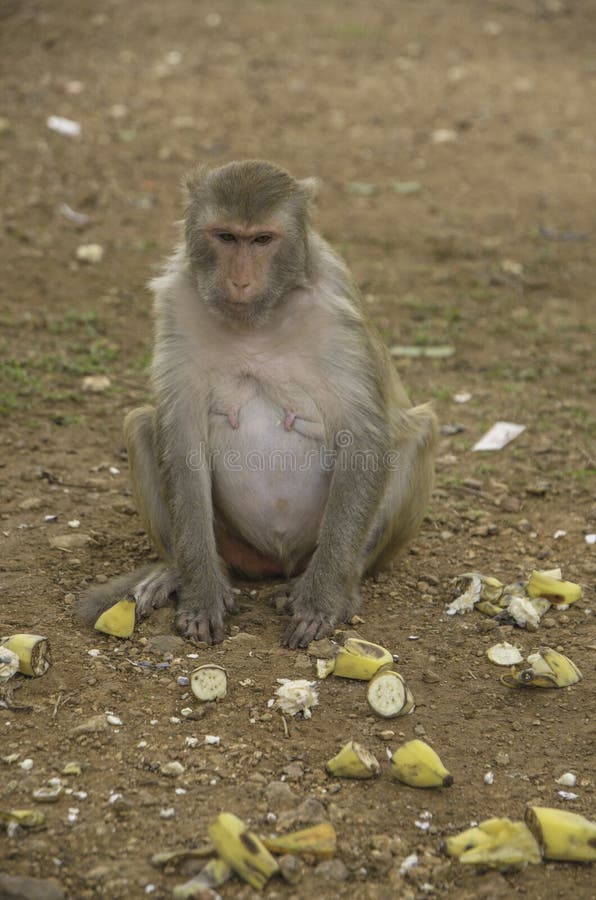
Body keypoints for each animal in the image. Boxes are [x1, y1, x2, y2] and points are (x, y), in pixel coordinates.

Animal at [78, 160, 438, 649]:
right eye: (227, 237)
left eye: (262, 239)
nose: (240, 280)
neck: (258, 321)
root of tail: (273, 564)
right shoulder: (177, 301)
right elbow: (180, 436)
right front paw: (202, 595)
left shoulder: (337, 304)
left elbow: (364, 437)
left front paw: (322, 601)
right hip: (233, 546)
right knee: (141, 424)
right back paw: (178, 573)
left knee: (418, 431)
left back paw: (339, 585)